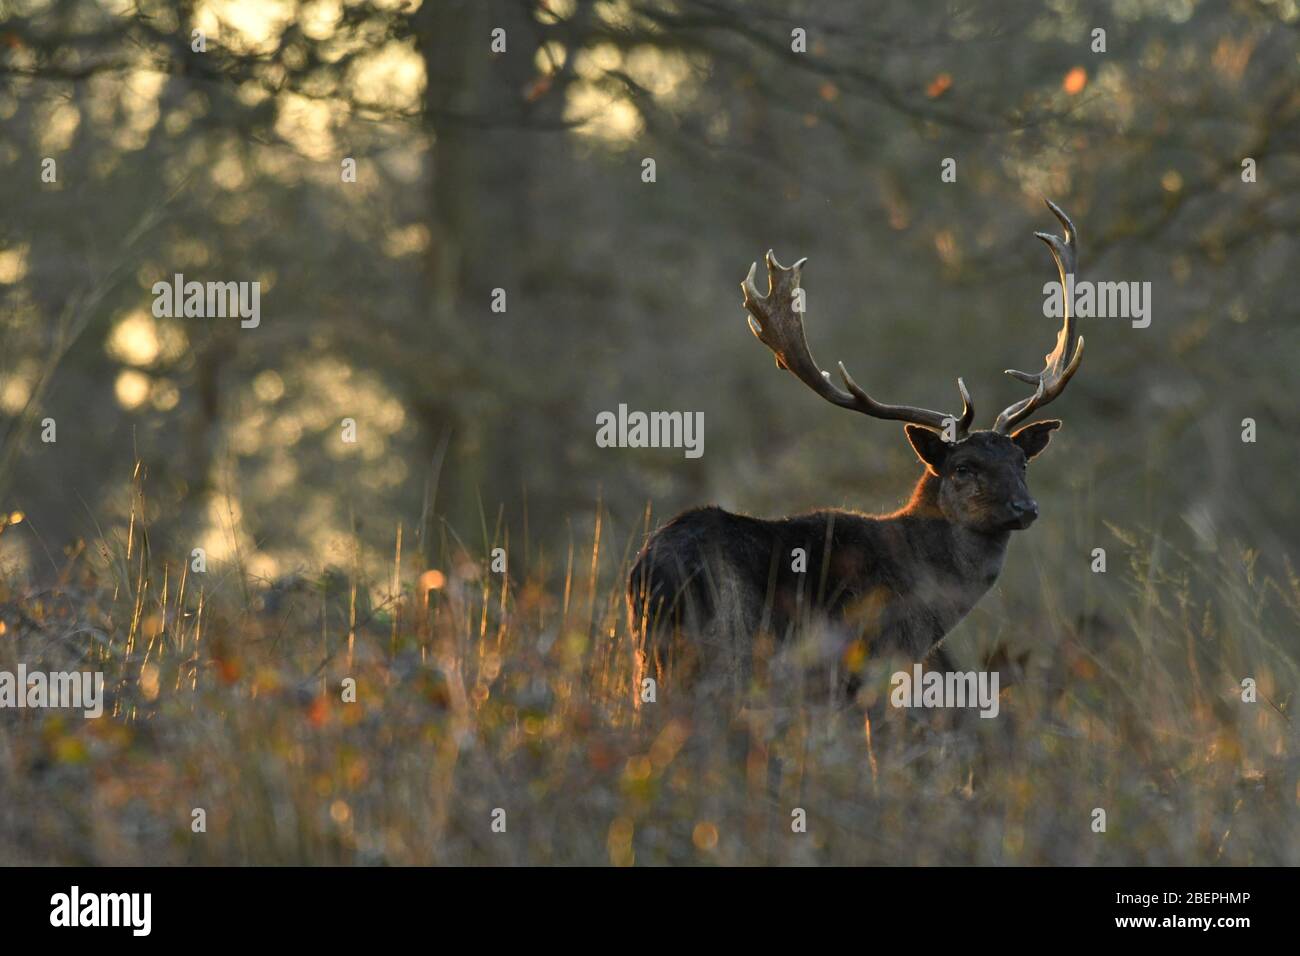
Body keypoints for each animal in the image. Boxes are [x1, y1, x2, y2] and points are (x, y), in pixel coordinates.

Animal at [628, 200, 1084, 703]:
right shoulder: (867, 657)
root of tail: (649, 572)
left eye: (1022, 462)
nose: (1024, 507)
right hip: (724, 648)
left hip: (649, 656)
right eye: (963, 467)